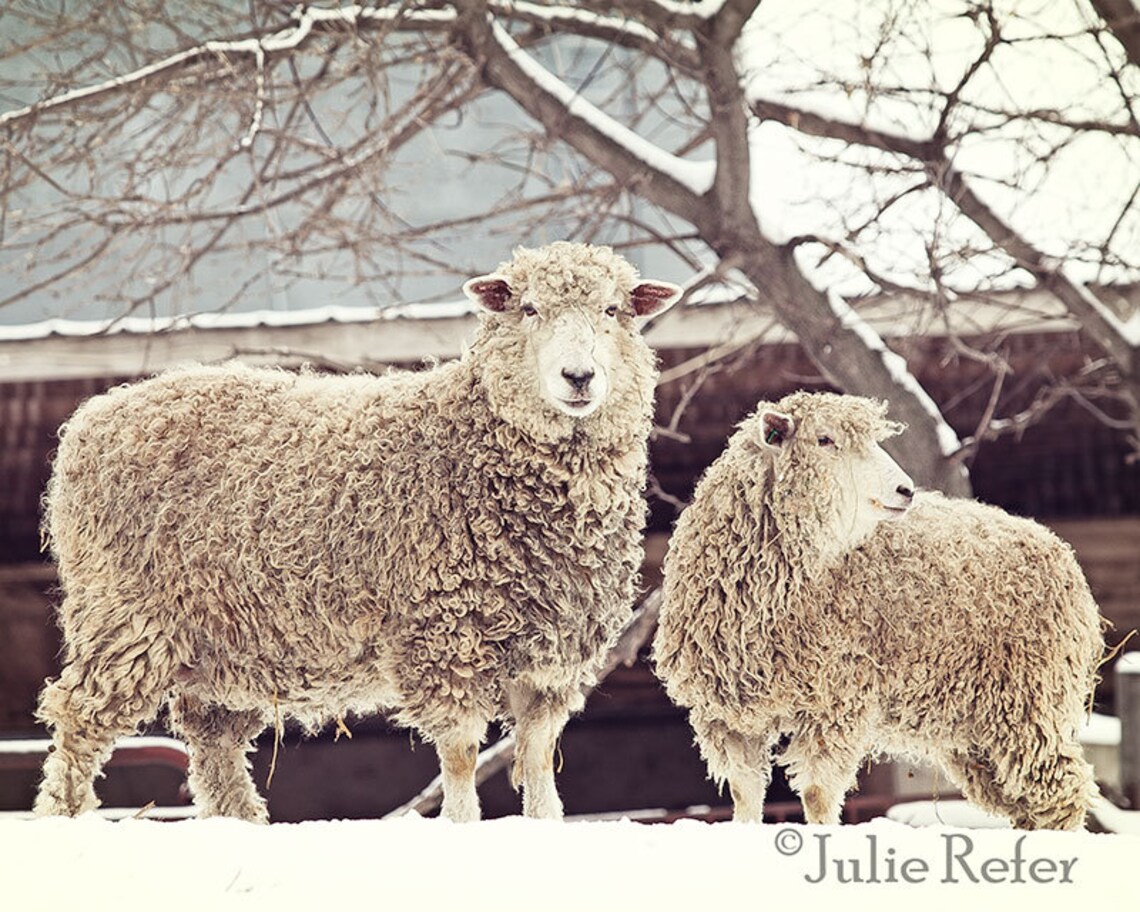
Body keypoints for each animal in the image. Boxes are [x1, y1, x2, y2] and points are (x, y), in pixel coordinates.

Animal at [34, 240, 682, 823]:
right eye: (527, 309)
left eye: (613, 310)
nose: (579, 377)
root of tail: (91, 417)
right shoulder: (443, 637)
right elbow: (461, 757)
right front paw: (463, 829)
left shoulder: (553, 655)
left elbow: (540, 758)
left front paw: (544, 827)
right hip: (122, 614)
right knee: (78, 718)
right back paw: (63, 815)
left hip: (224, 643)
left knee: (212, 741)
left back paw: (241, 824)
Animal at [653, 390, 1105, 830]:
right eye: (824, 439)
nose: (905, 490)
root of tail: (1059, 550)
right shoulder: (724, 714)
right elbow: (743, 794)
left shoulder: (837, 699)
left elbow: (817, 795)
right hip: (975, 728)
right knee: (1026, 803)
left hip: (1032, 699)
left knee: (1061, 793)